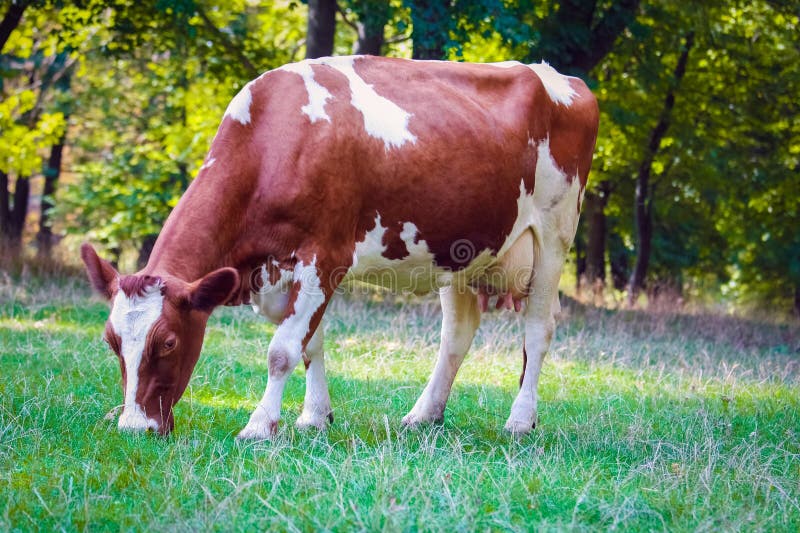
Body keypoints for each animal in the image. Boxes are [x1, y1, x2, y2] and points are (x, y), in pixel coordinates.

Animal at [81, 55, 598, 439]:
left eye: (168, 341)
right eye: (110, 341)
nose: (134, 428)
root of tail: (563, 78)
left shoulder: (324, 254)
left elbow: (282, 349)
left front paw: (259, 425)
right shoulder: (294, 271)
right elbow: (310, 343)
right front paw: (314, 417)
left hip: (554, 234)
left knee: (538, 329)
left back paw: (520, 420)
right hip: (463, 250)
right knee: (457, 333)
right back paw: (423, 415)